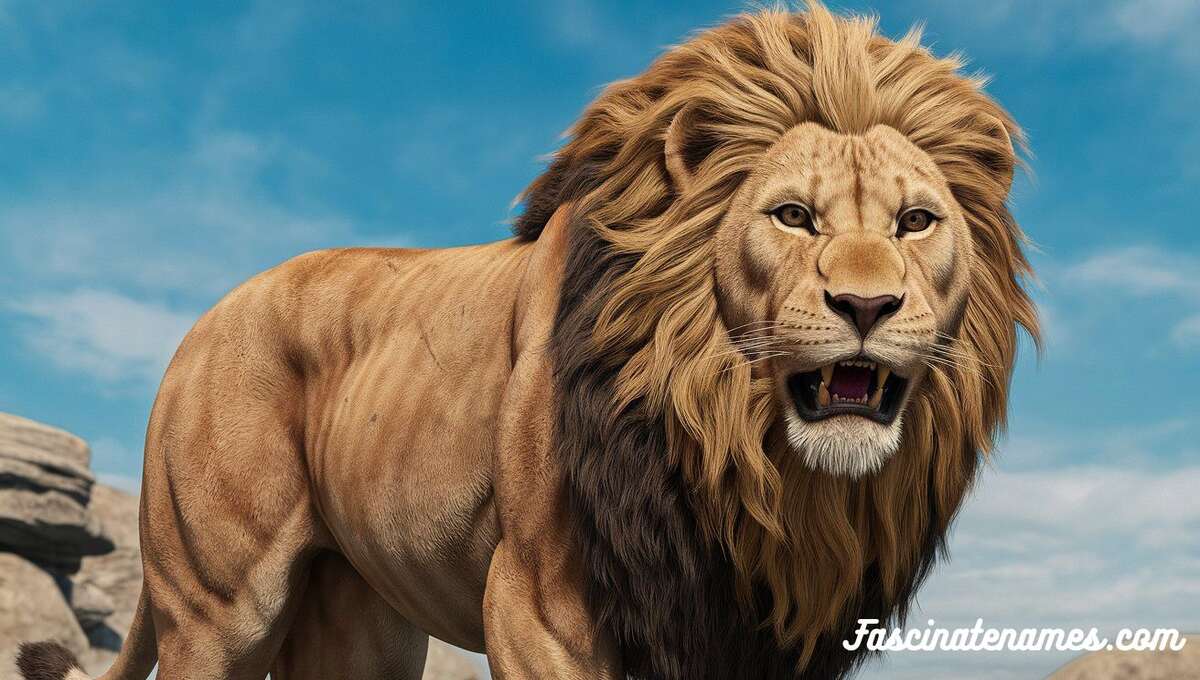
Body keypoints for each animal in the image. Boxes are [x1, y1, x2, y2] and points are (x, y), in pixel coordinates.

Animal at [17, 3, 1037, 679]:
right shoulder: (542, 609)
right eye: (792, 216)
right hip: (216, 604)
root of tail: (206, 316)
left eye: (915, 223)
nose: (867, 304)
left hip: (358, 614)